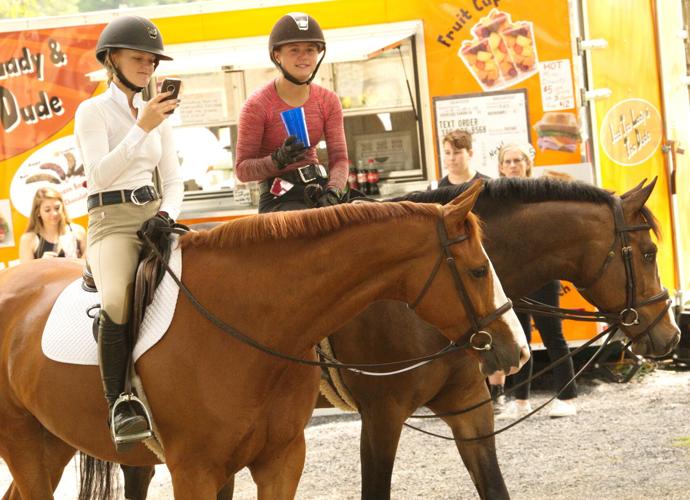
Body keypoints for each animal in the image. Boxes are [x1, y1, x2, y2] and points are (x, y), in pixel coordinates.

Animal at [0, 183, 529, 499]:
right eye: (478, 270)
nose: (517, 351)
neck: (247, 322)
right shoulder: (195, 471)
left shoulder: (280, 460)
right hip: (24, 443)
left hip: (53, 442)